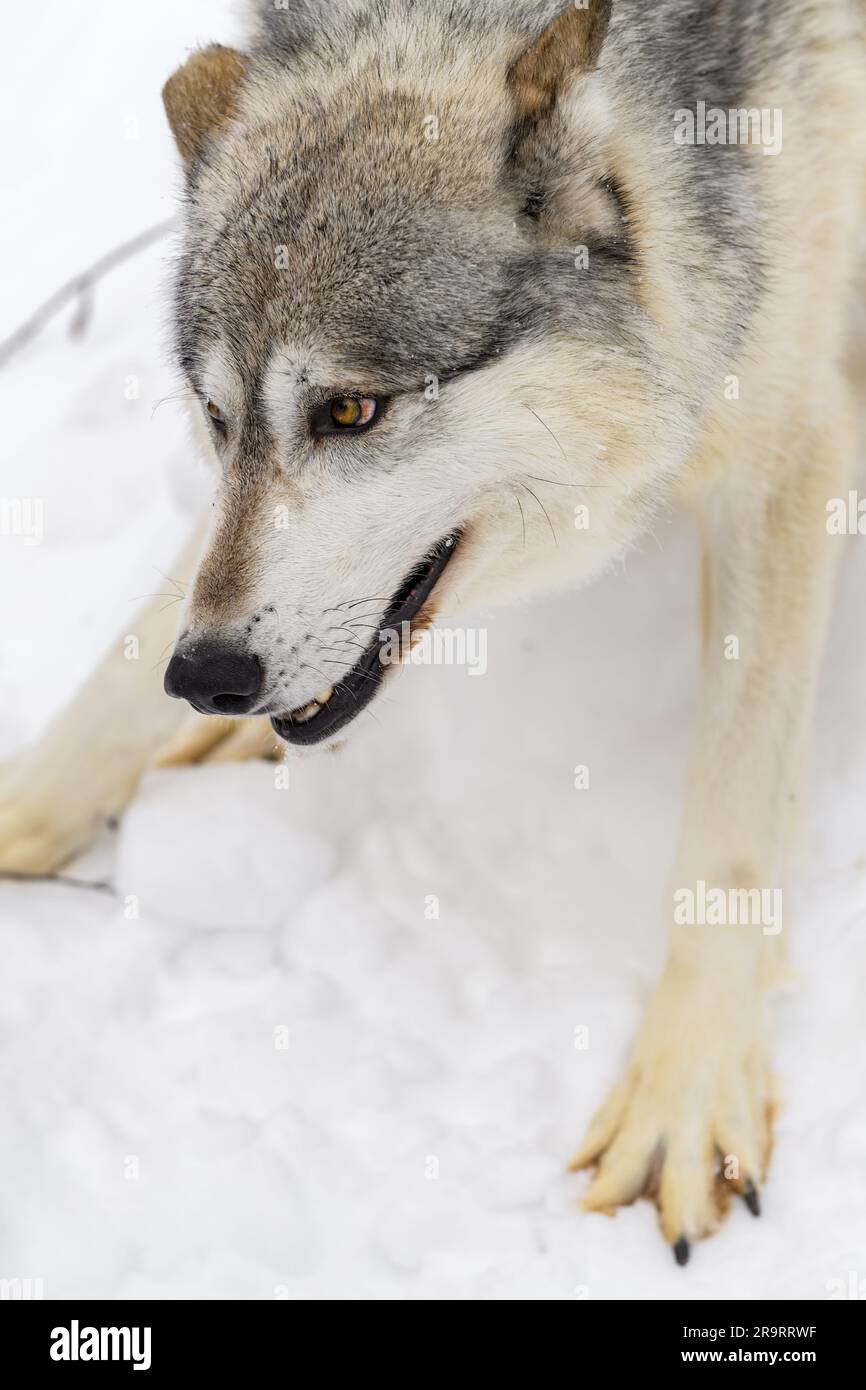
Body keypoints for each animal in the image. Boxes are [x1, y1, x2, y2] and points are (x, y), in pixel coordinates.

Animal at [2, 0, 865, 1263]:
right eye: (217, 419)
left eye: (351, 409)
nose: (207, 677)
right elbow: (129, 649)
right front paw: (26, 809)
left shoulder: (783, 449)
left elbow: (730, 823)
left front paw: (681, 1102)